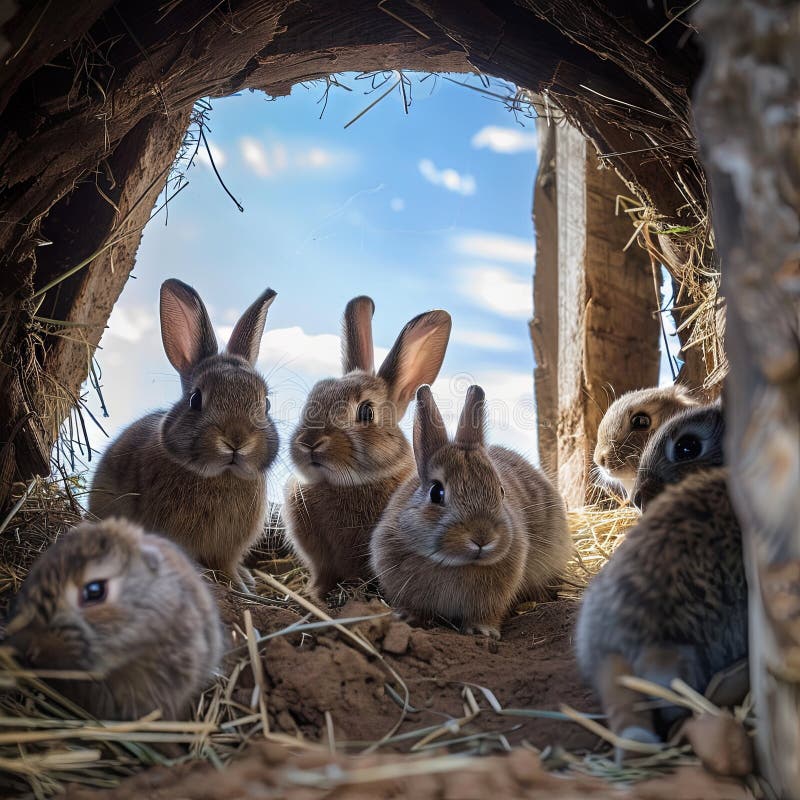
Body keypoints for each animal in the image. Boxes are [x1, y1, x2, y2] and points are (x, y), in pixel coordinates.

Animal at [88, 279, 279, 589]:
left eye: (266, 404)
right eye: (195, 399)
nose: (236, 440)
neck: (221, 476)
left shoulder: (227, 549)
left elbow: (226, 564)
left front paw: (239, 581)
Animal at [283, 296, 451, 601]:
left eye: (366, 412)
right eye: (312, 396)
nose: (310, 442)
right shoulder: (321, 561)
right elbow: (323, 576)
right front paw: (313, 593)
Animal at [371, 384, 572, 639]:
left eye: (501, 491)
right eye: (436, 492)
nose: (482, 537)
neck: (453, 563)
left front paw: (481, 631)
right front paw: (407, 618)